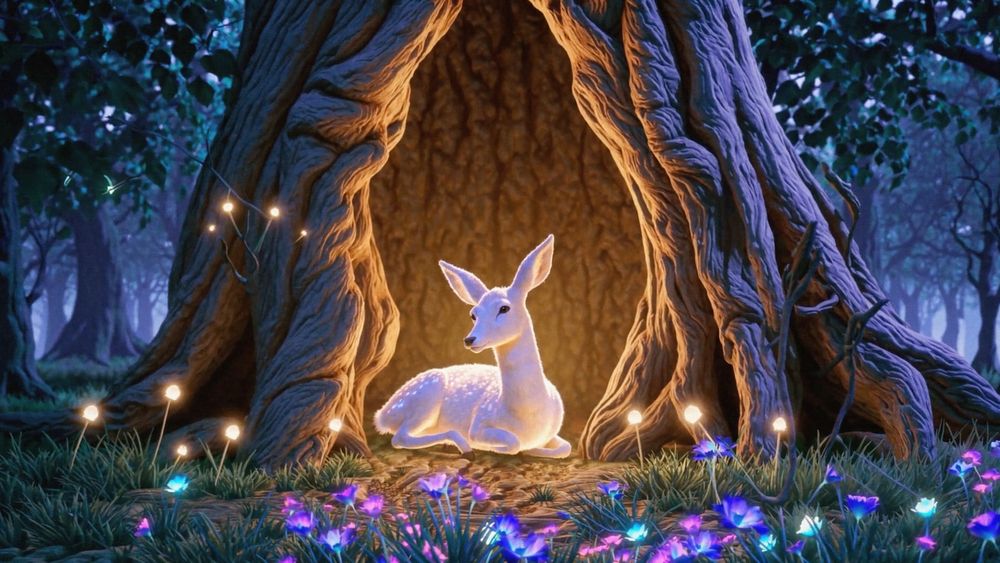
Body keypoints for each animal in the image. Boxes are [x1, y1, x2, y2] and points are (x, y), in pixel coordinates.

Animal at [374, 235, 571, 458]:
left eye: (504, 308)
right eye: (473, 314)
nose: (469, 339)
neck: (528, 416)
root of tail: (382, 414)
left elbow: (565, 448)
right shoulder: (479, 422)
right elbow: (512, 443)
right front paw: (488, 447)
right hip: (425, 399)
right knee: (400, 437)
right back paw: (464, 447)